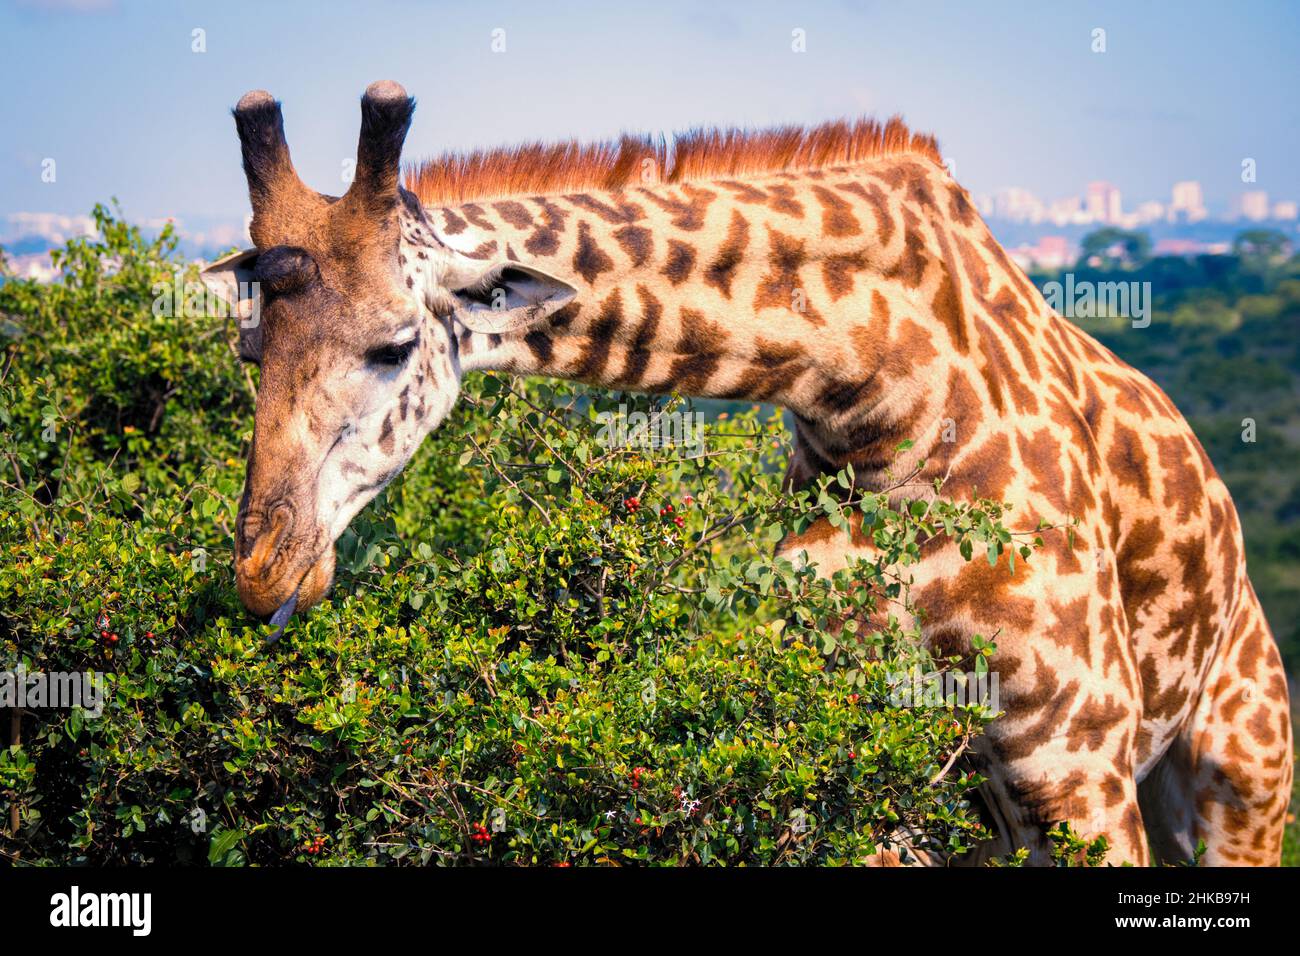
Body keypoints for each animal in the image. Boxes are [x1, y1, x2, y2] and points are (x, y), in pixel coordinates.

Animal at [202, 82, 1293, 866]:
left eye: (393, 346)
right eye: (249, 346)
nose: (266, 568)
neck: (890, 398)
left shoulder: (1077, 769)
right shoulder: (845, 767)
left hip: (1239, 777)